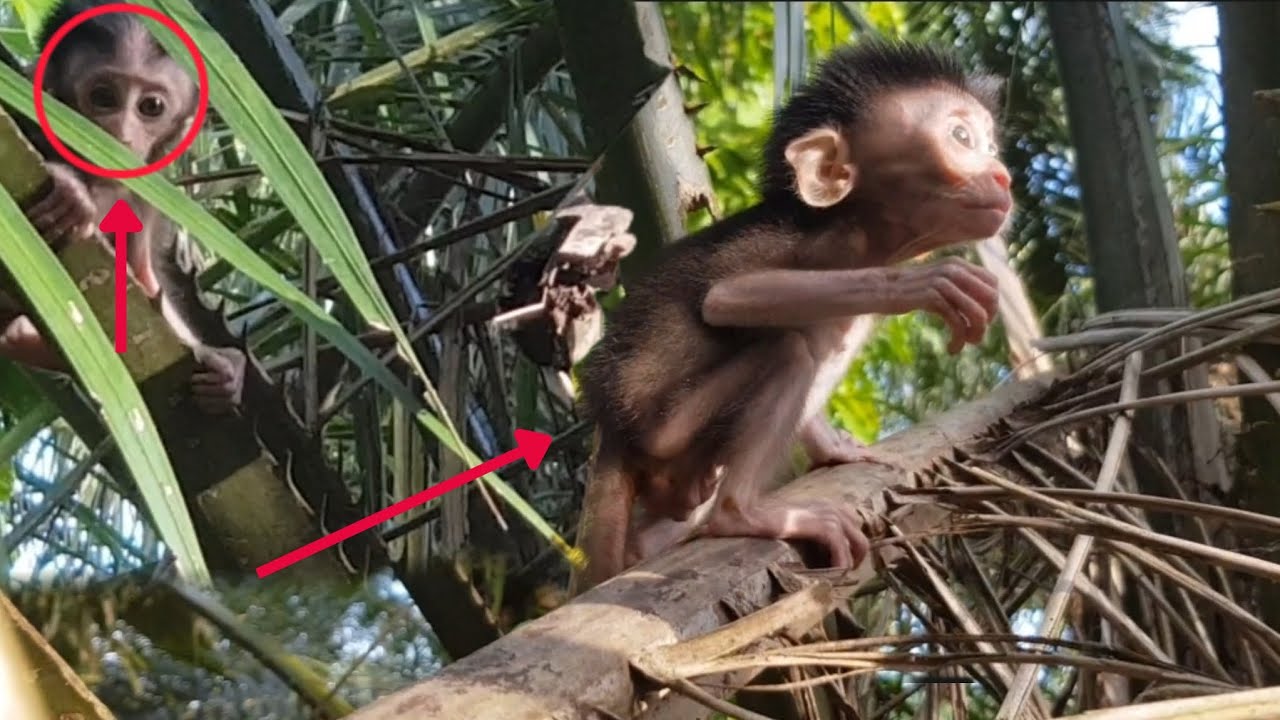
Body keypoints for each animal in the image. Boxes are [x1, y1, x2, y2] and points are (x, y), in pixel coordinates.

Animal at [0, 1, 245, 415]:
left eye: (152, 106)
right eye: (103, 97)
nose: (118, 135)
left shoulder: (146, 197)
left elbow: (145, 284)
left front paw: (228, 369)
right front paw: (69, 190)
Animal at [571, 42, 1013, 592]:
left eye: (990, 145)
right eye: (961, 138)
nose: (1002, 175)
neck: (867, 239)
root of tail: (609, 427)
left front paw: (838, 448)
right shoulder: (815, 246)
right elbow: (726, 297)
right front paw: (928, 282)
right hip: (664, 431)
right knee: (788, 349)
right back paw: (741, 515)